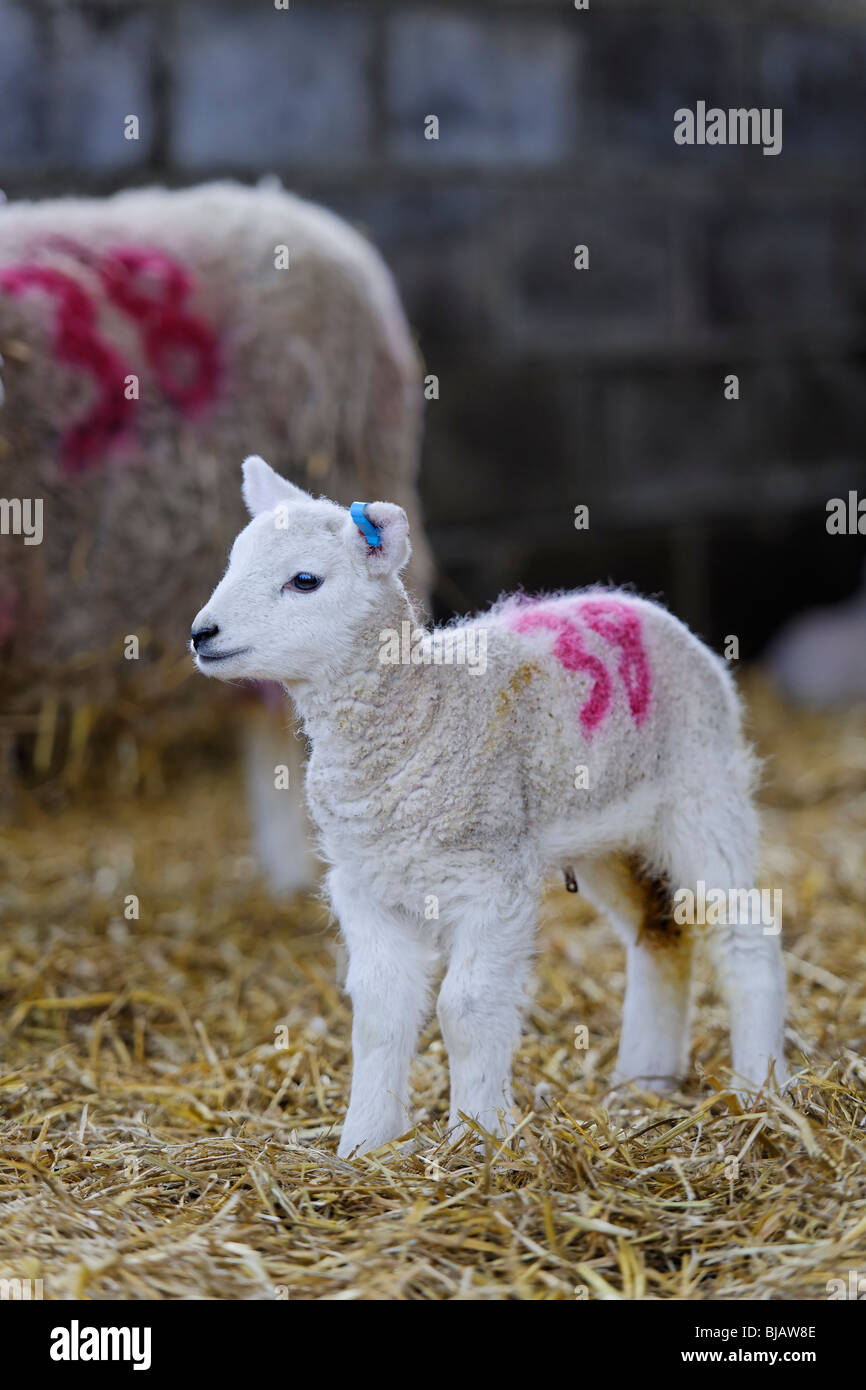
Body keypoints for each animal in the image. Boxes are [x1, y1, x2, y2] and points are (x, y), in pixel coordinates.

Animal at [192, 456, 788, 1157]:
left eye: (305, 580)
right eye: (233, 563)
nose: (202, 634)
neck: (424, 712)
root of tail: (635, 600)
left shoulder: (490, 879)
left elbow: (466, 1009)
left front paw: (479, 1138)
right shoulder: (367, 884)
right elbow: (379, 1015)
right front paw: (364, 1145)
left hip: (702, 789)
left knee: (743, 934)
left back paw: (761, 1092)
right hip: (611, 835)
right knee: (660, 931)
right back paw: (644, 1082)